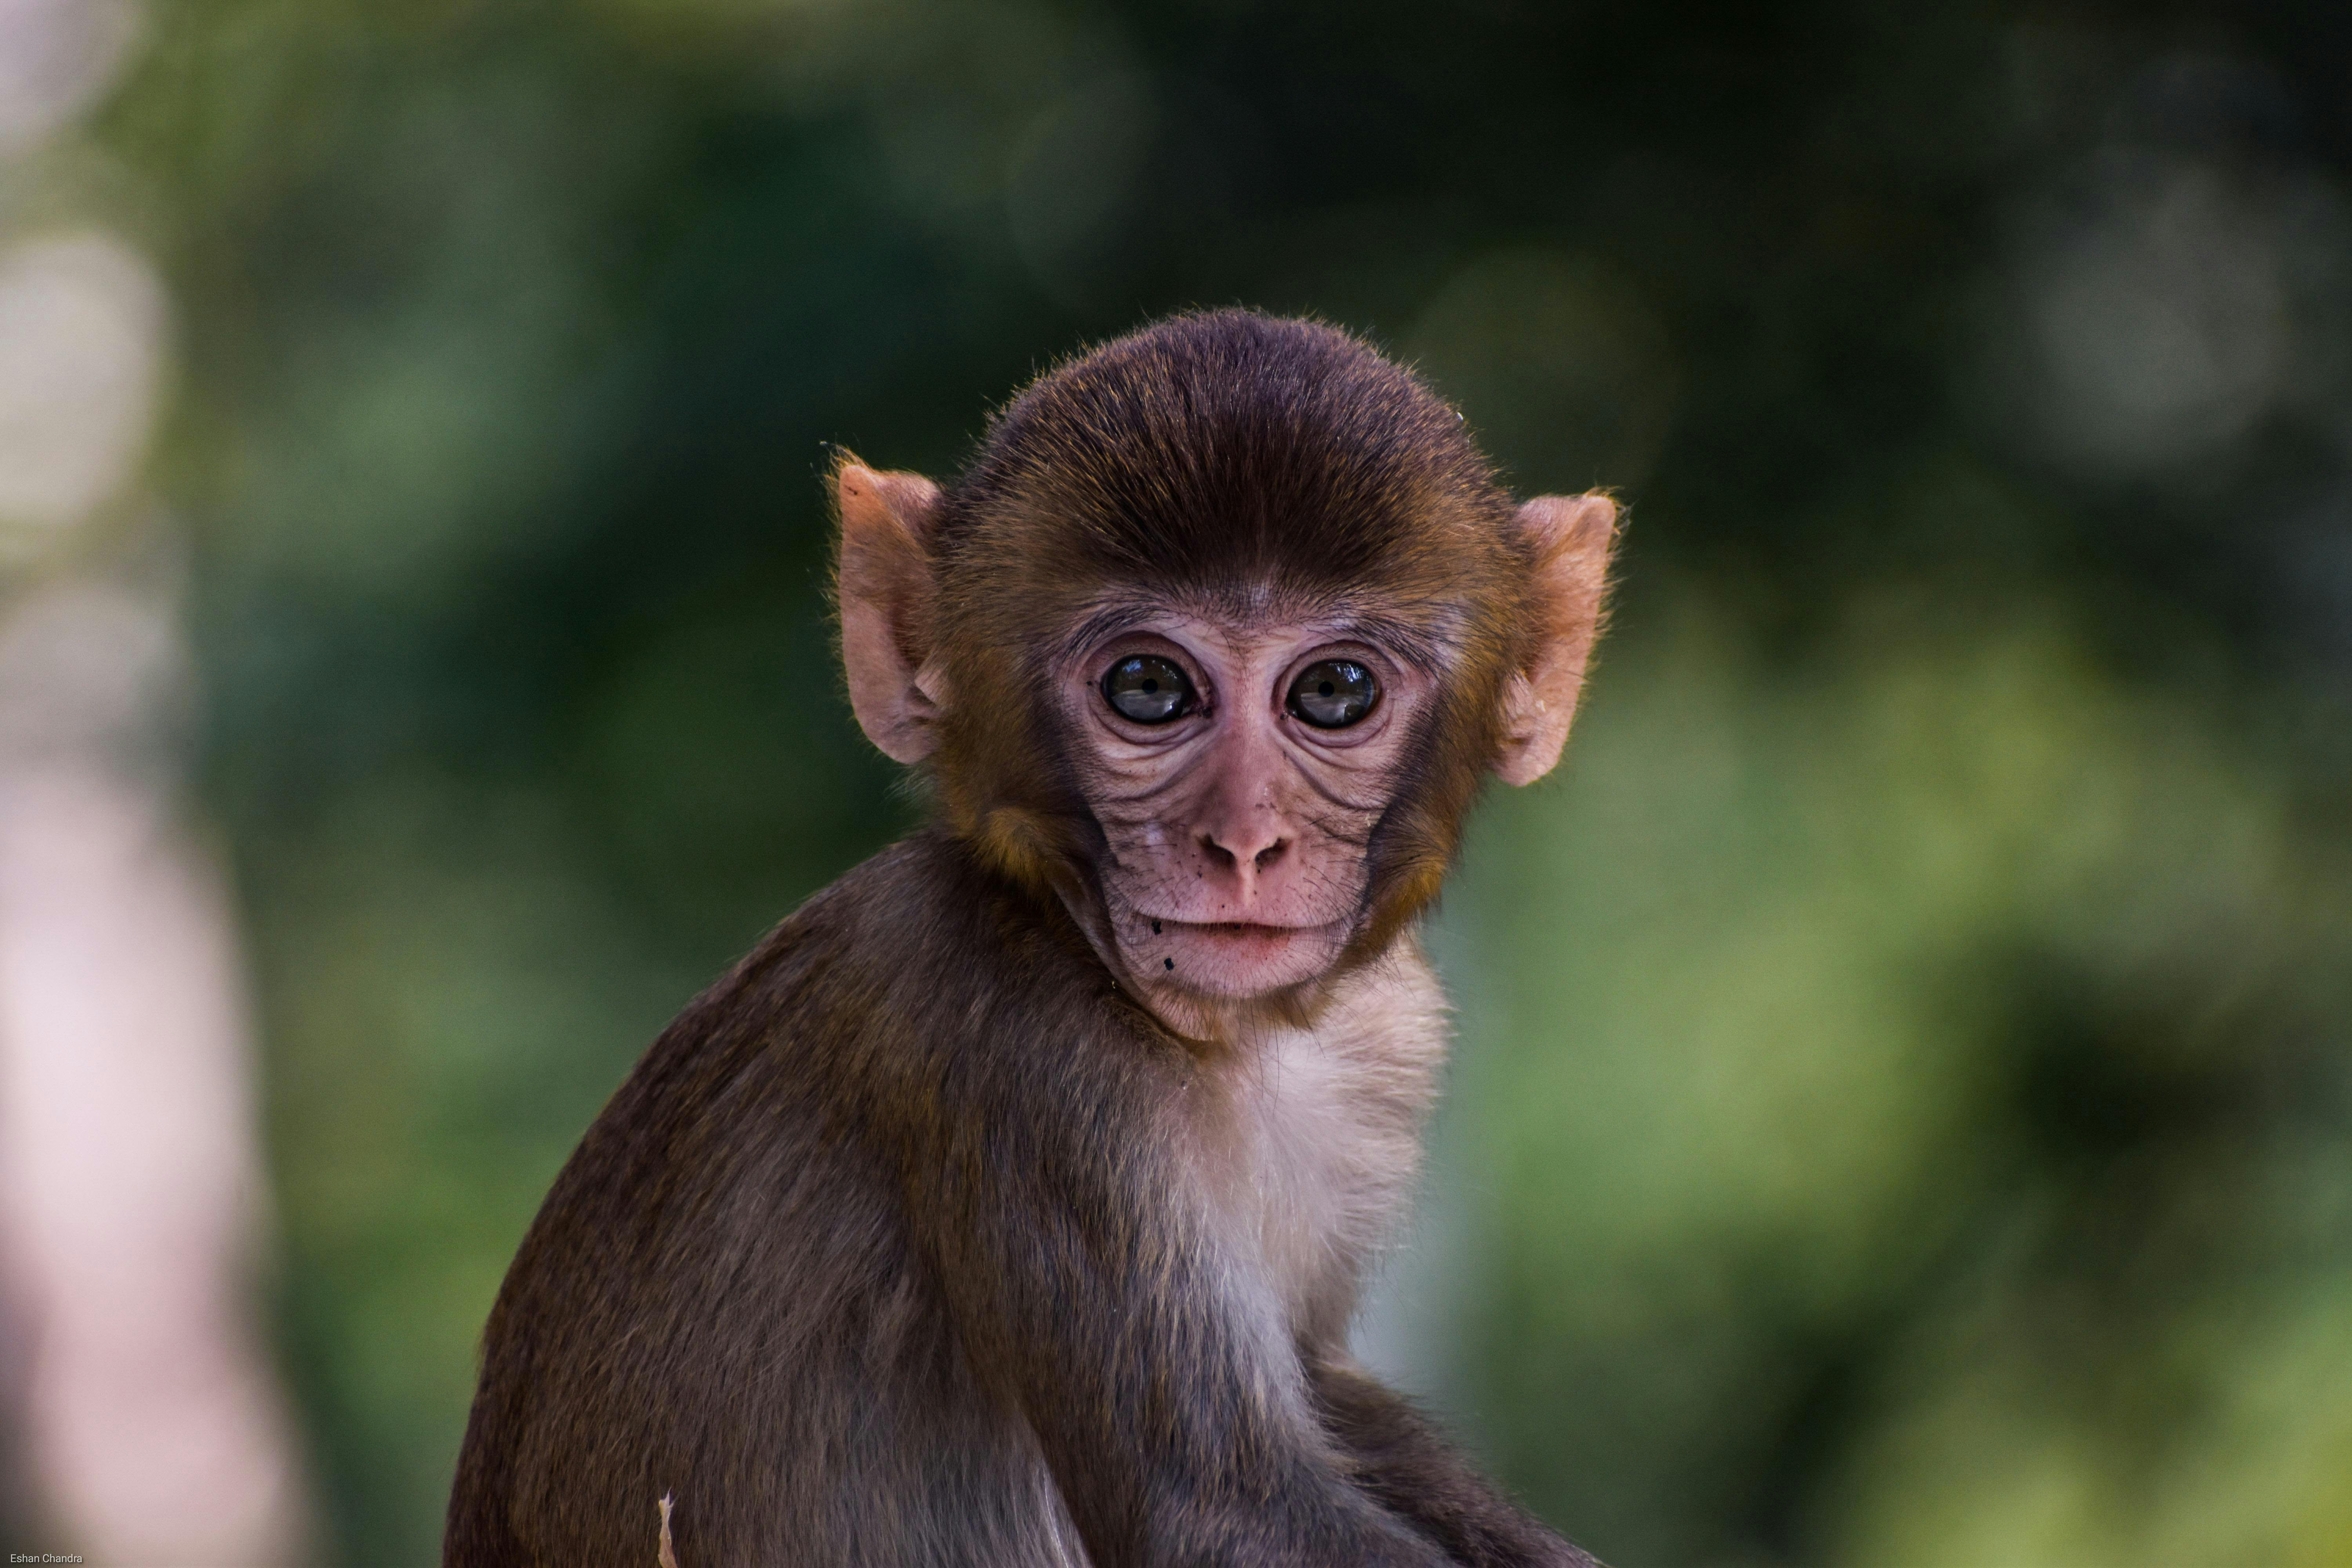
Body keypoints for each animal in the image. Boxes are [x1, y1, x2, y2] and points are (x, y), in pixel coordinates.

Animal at [444, 309, 1618, 1568]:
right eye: (1148, 687)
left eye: (1335, 690)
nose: (1245, 841)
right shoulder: (1015, 1047)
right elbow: (1219, 1509)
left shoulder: (1389, 1036)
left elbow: (1325, 1394)